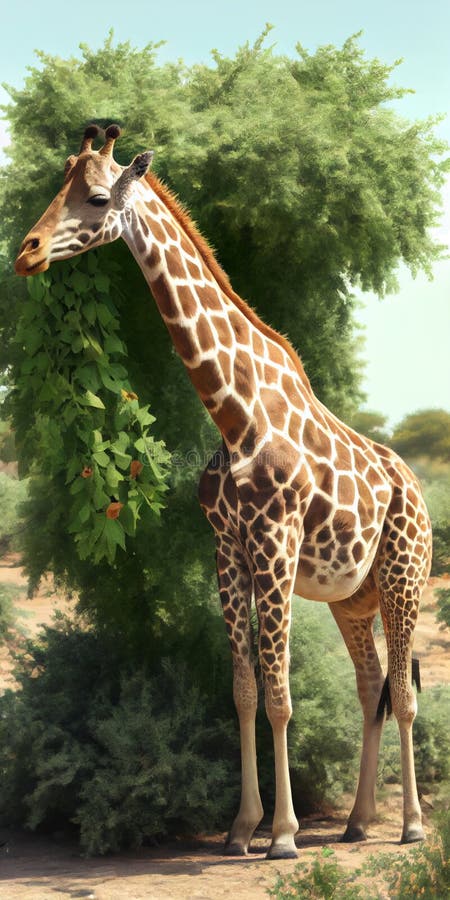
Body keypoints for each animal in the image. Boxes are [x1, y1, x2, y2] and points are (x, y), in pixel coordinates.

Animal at [15, 125, 432, 859]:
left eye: (97, 197)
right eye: (56, 186)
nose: (27, 252)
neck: (234, 413)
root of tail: (418, 491)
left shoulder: (276, 542)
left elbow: (280, 693)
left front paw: (284, 835)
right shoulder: (228, 550)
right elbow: (242, 690)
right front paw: (242, 828)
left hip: (406, 575)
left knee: (407, 695)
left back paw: (409, 825)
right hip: (352, 598)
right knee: (370, 686)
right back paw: (355, 822)